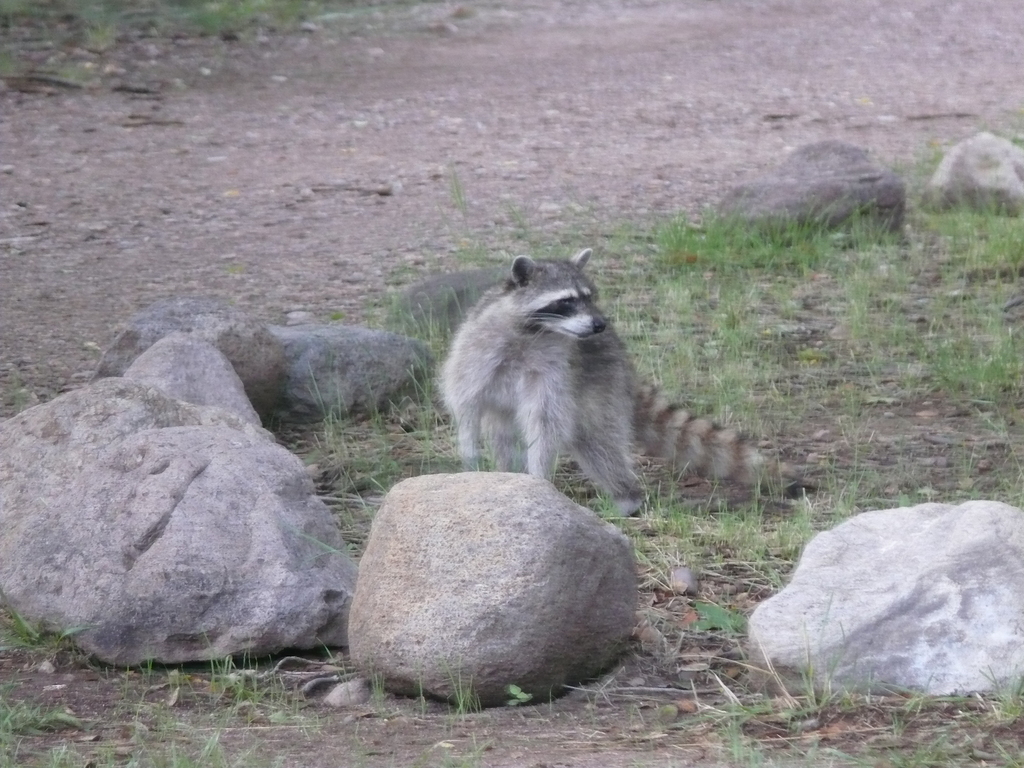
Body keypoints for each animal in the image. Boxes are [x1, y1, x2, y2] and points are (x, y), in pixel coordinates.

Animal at [439, 248, 799, 515]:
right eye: (567, 301)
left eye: (590, 296)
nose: (600, 324)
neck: (536, 332)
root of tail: (624, 363)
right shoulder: (476, 349)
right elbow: (465, 402)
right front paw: (470, 448)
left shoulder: (555, 369)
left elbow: (546, 423)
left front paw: (538, 477)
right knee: (505, 435)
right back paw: (507, 474)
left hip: (599, 383)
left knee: (597, 441)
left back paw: (627, 497)